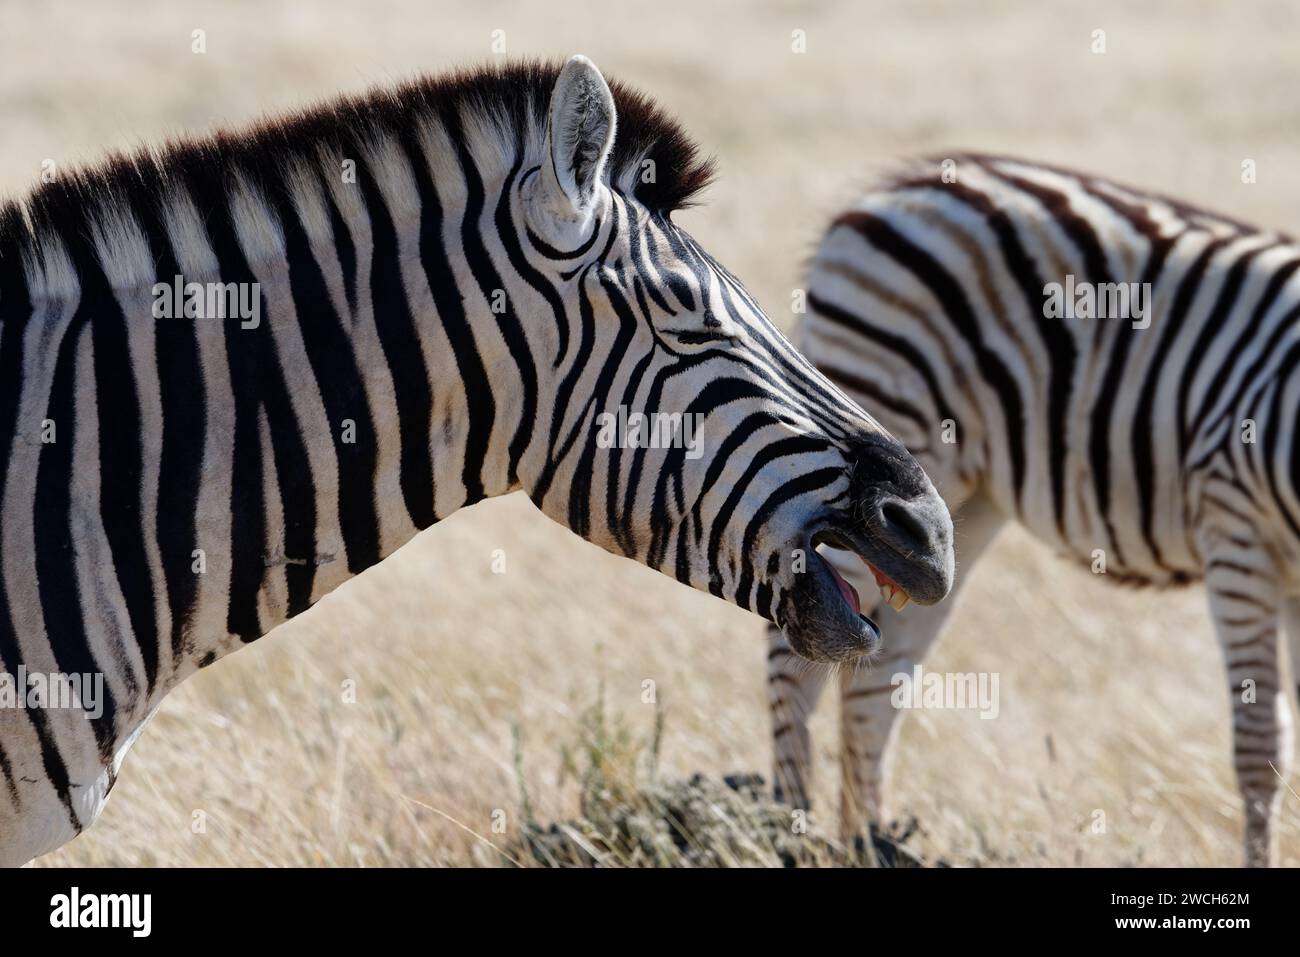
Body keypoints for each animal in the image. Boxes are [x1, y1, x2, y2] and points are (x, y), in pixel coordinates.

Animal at [768, 152, 1300, 867]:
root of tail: (884, 194)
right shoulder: (1237, 530)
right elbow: (1260, 745)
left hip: (951, 511)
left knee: (877, 676)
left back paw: (867, 844)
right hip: (883, 441)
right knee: (797, 654)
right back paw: (782, 830)